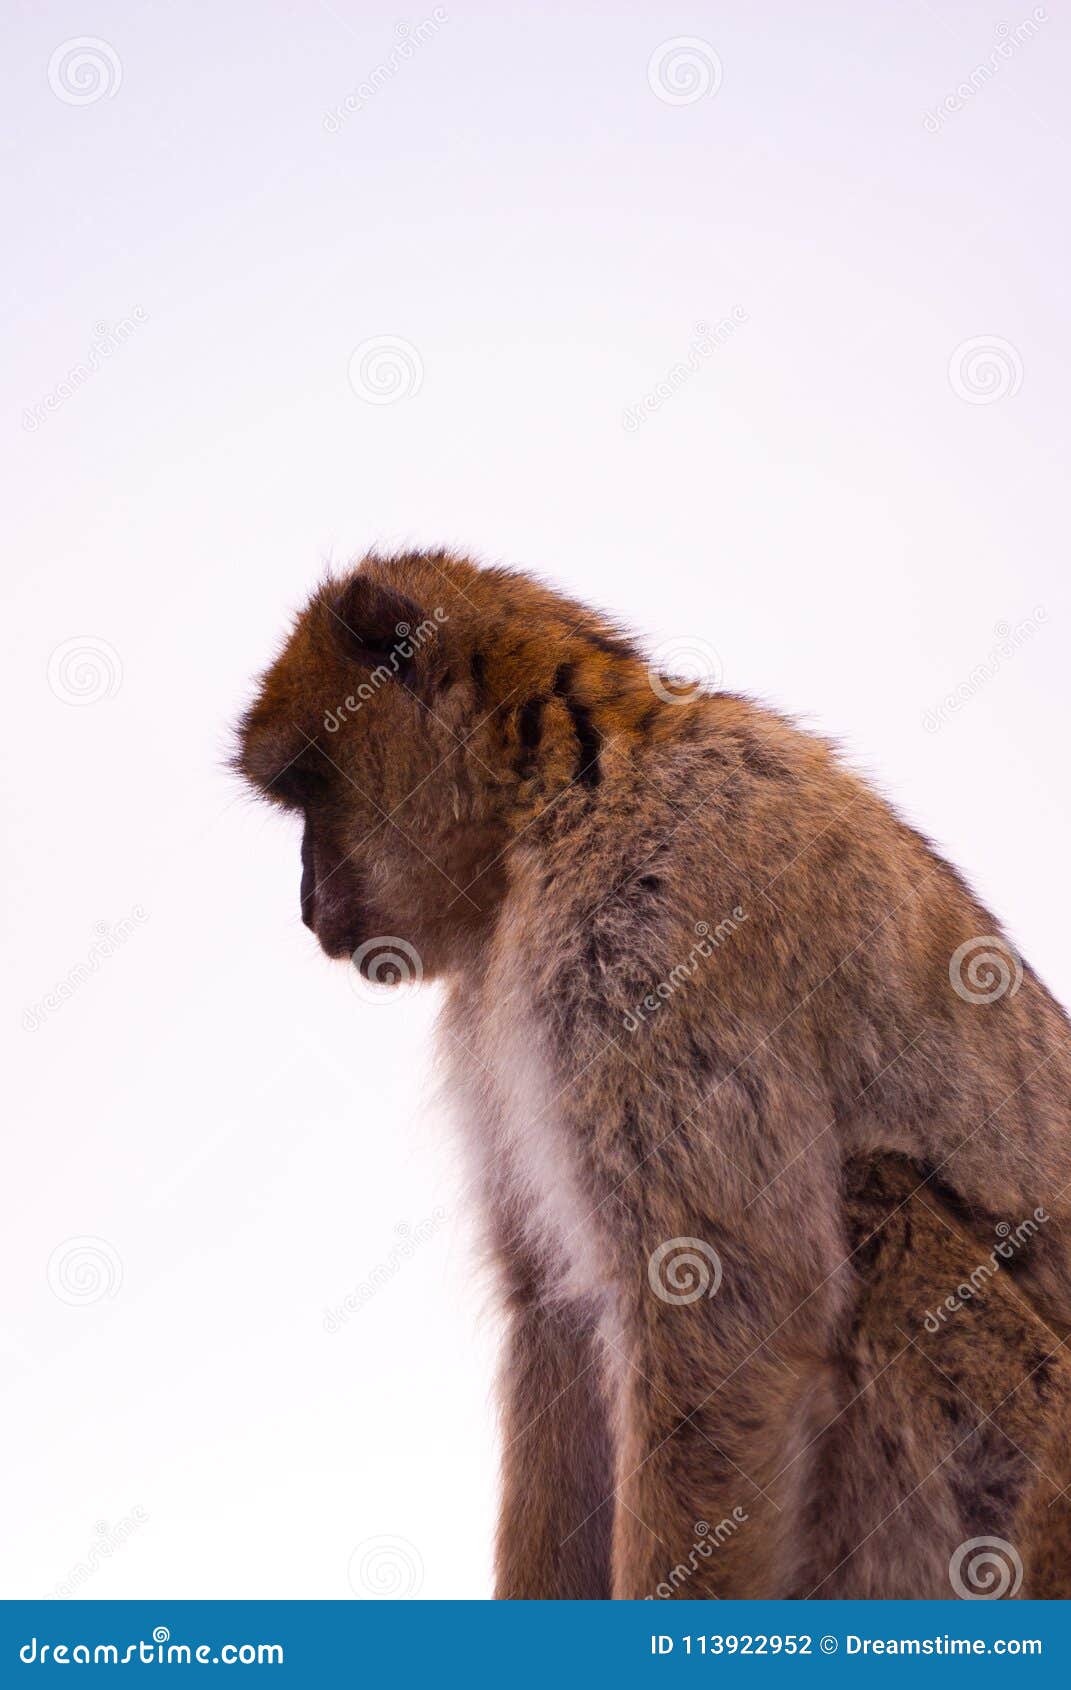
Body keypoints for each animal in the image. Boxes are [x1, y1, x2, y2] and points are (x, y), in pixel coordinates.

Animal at [236, 549, 1071, 1599]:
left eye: (311, 791)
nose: (307, 901)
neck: (571, 794)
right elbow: (554, 1308)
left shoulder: (649, 925)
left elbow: (725, 1309)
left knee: (875, 1198)